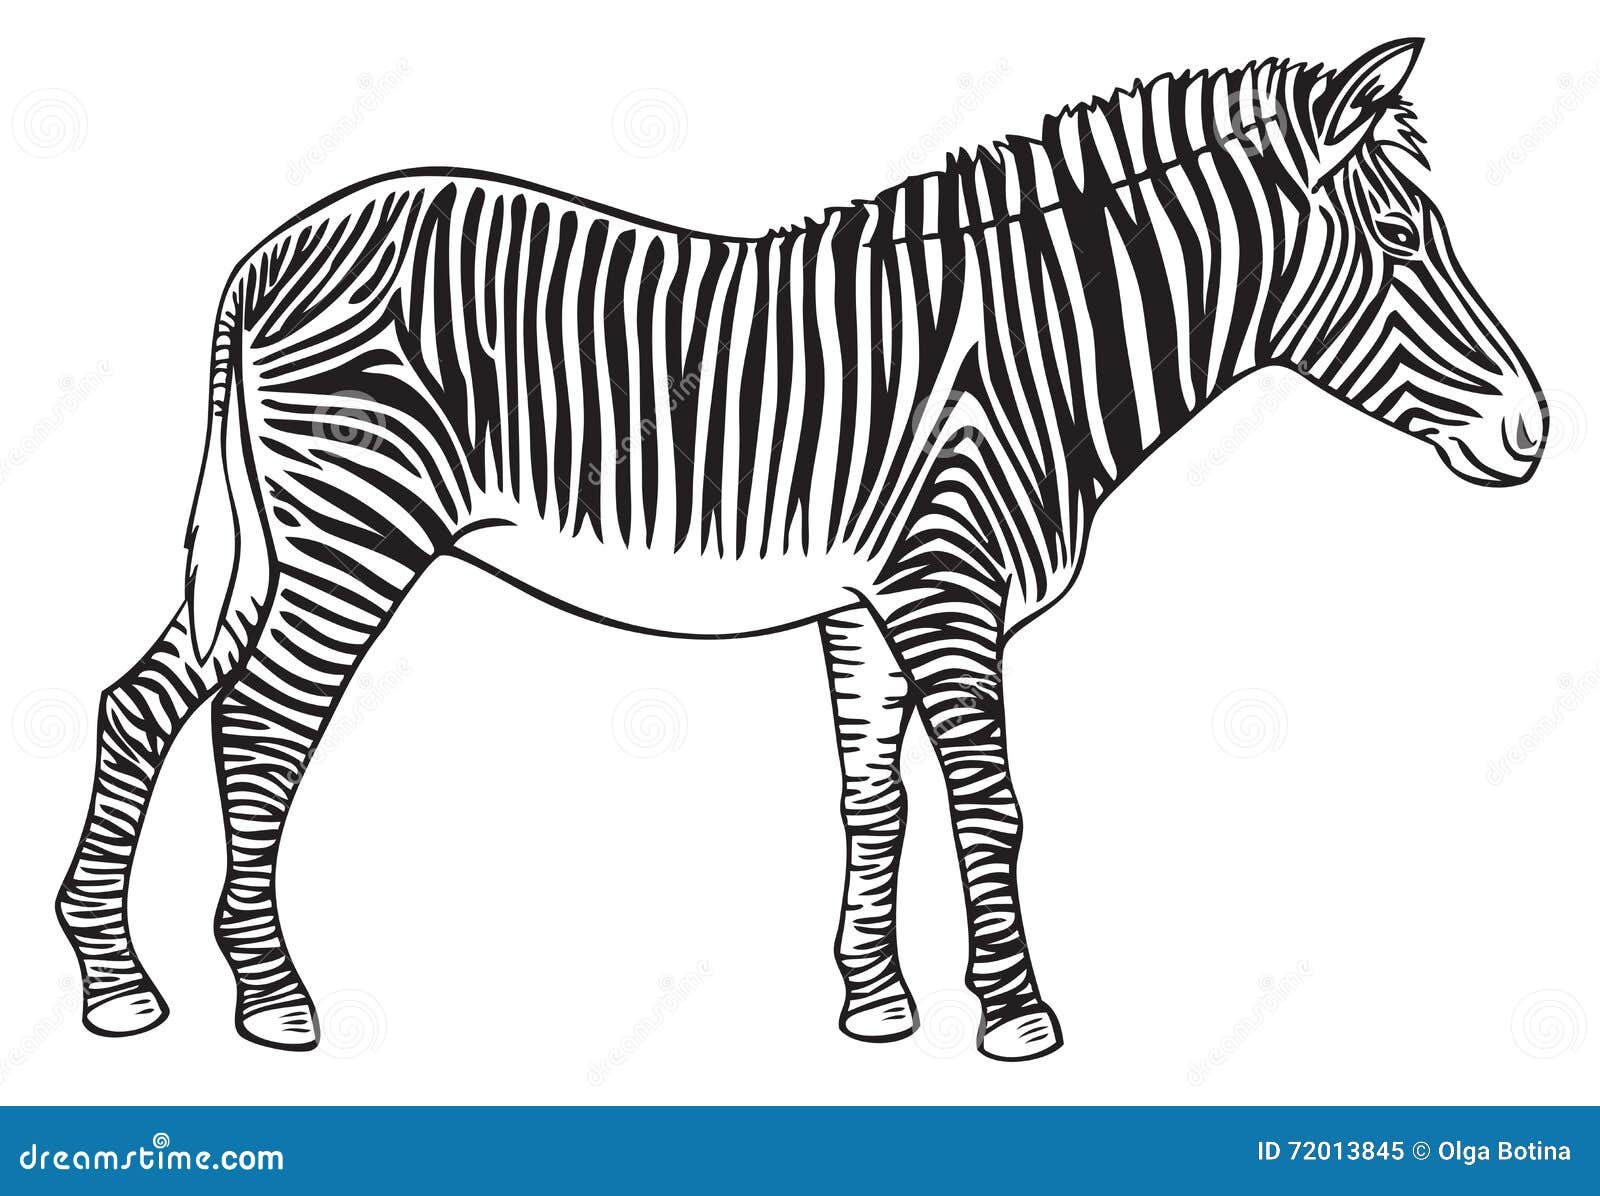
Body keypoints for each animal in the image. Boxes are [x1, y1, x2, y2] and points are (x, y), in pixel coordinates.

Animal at [58, 37, 1547, 1060]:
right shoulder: (947, 582)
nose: (1535, 431)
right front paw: (1016, 1013)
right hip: (350, 523)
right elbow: (992, 803)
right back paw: (270, 998)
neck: (1039, 343)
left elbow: (872, 800)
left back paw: (116, 983)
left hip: (268, 535)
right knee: (258, 728)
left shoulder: (871, 602)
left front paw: (877, 1003)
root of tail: (265, 252)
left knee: (142, 701)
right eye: (1405, 235)